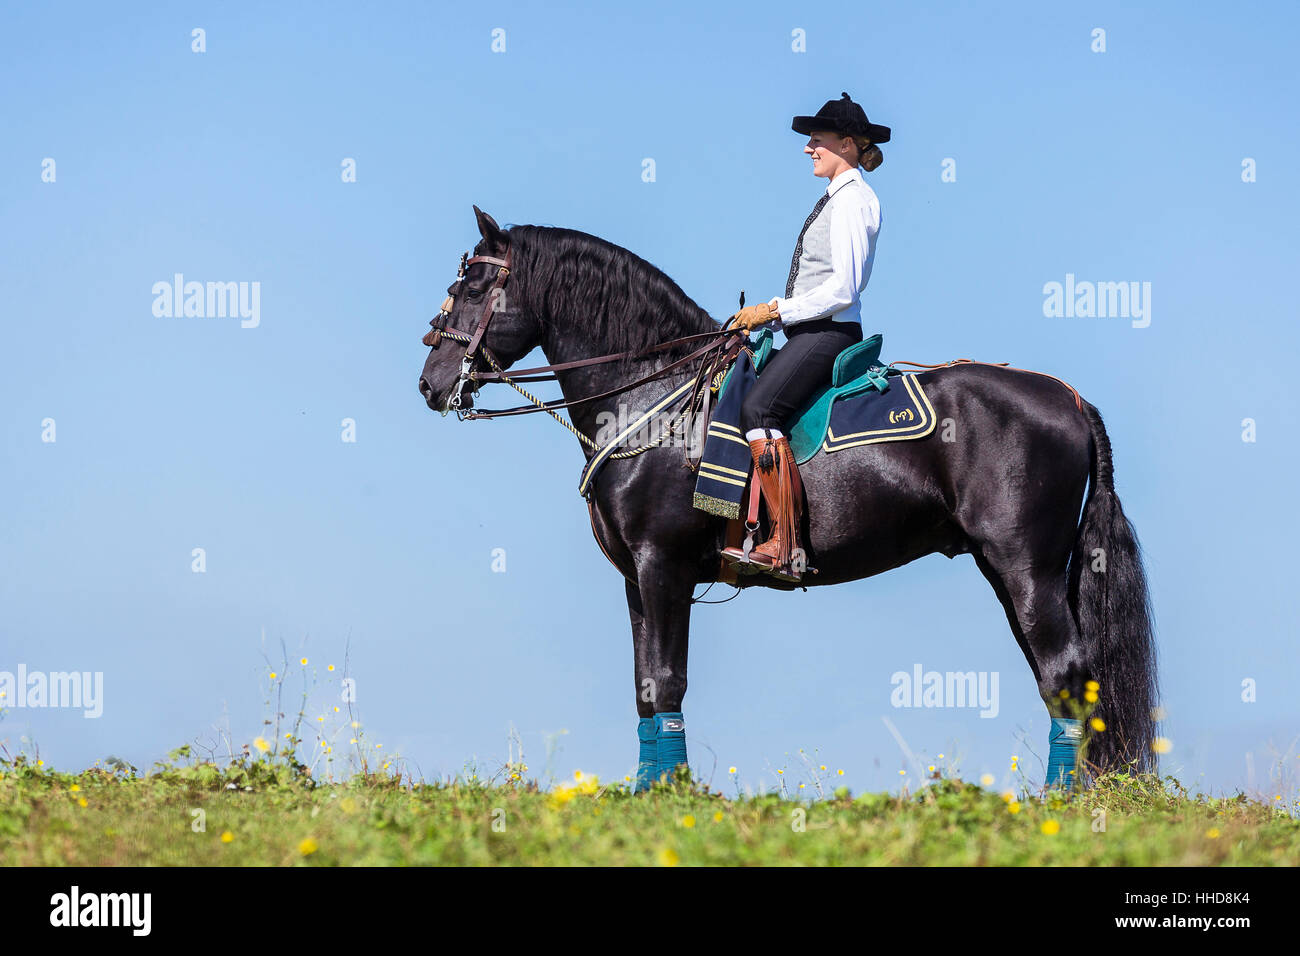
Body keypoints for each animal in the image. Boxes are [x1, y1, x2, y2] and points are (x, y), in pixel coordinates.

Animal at [418, 206, 1158, 792]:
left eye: (475, 285)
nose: (431, 381)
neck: (656, 400)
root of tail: (1069, 399)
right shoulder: (635, 577)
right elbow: (644, 686)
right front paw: (647, 791)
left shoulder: (664, 564)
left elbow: (668, 679)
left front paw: (672, 794)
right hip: (1013, 570)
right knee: (1065, 679)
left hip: (1025, 565)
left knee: (1063, 670)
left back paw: (1059, 802)